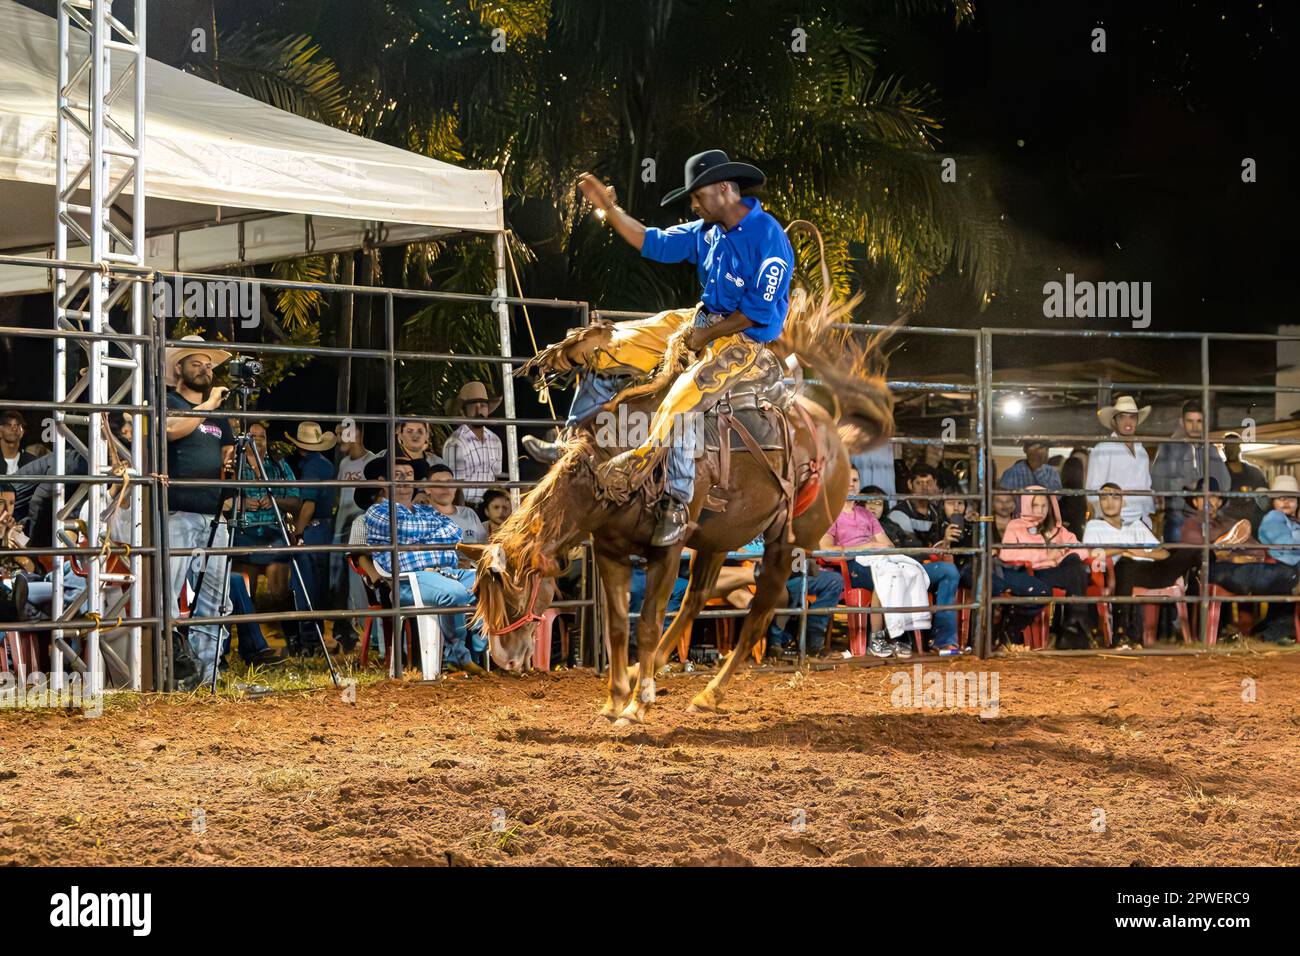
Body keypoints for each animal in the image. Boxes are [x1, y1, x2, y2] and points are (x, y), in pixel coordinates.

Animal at [459, 291, 893, 724]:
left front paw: (637, 705)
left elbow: (648, 624)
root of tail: (835, 437)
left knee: (758, 615)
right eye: (480, 593)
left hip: (786, 541)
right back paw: (647, 670)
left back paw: (708, 694)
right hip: (718, 537)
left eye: (515, 593)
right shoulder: (610, 550)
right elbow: (618, 626)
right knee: (696, 599)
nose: (504, 657)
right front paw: (616, 698)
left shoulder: (666, 550)